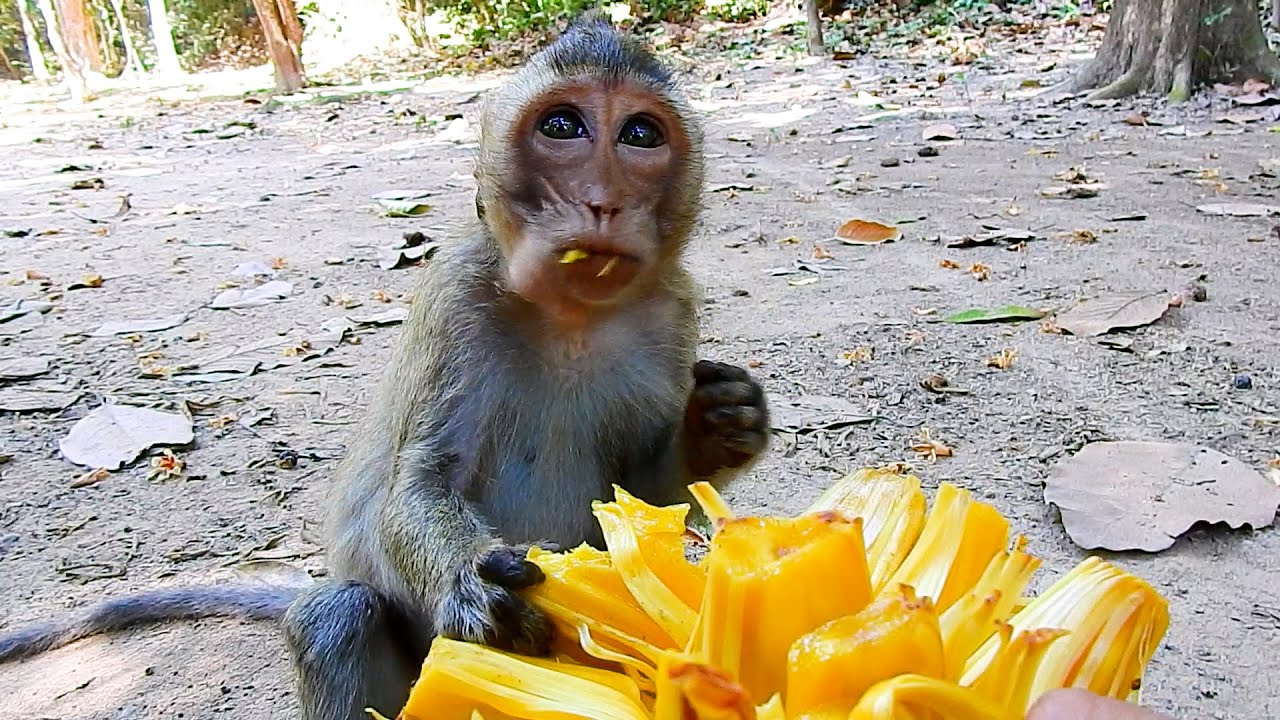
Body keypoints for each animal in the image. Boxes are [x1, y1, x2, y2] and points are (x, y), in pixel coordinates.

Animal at [0, 13, 770, 720]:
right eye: (563, 125)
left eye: (639, 135)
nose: (602, 202)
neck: (571, 320)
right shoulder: (454, 300)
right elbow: (423, 480)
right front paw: (473, 578)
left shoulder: (673, 312)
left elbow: (645, 496)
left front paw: (715, 427)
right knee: (337, 613)